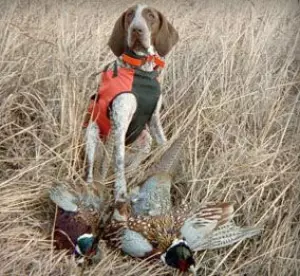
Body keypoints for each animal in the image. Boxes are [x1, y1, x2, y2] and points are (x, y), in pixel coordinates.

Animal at [83, 3, 178, 203]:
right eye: (129, 15)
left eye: (150, 15)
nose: (137, 29)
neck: (142, 72)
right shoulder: (119, 123)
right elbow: (118, 160)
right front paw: (120, 191)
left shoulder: (154, 119)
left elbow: (165, 144)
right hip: (92, 133)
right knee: (93, 169)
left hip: (144, 137)